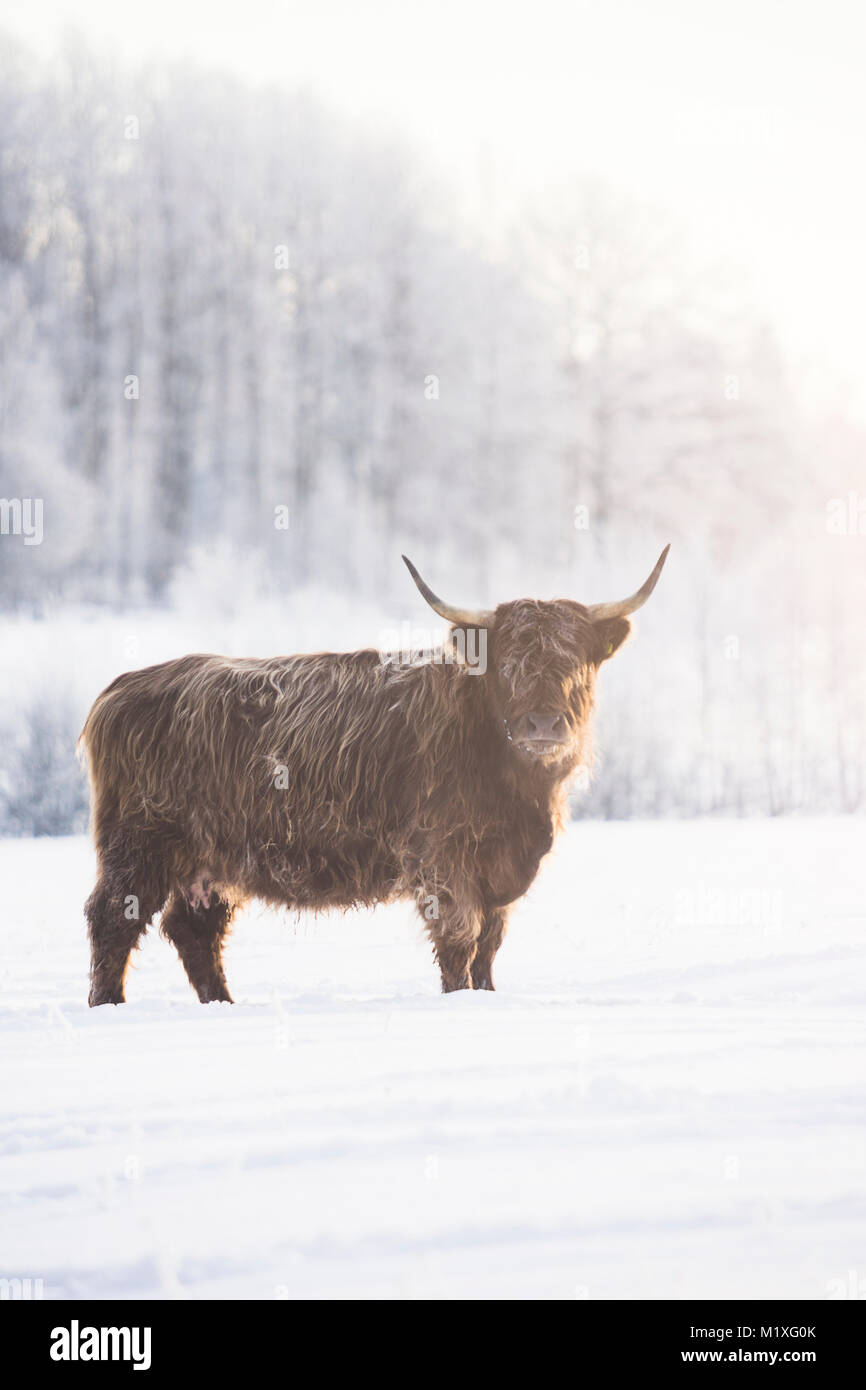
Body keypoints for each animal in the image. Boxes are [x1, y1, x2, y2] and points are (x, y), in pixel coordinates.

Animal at [80, 547, 669, 1005]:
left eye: (576, 664)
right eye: (509, 664)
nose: (543, 723)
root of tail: (120, 688)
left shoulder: (500, 870)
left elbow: (490, 945)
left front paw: (486, 996)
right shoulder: (442, 858)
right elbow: (461, 940)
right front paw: (460, 1001)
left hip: (209, 863)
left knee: (194, 931)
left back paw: (222, 1005)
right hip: (138, 846)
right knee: (112, 919)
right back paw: (109, 1005)